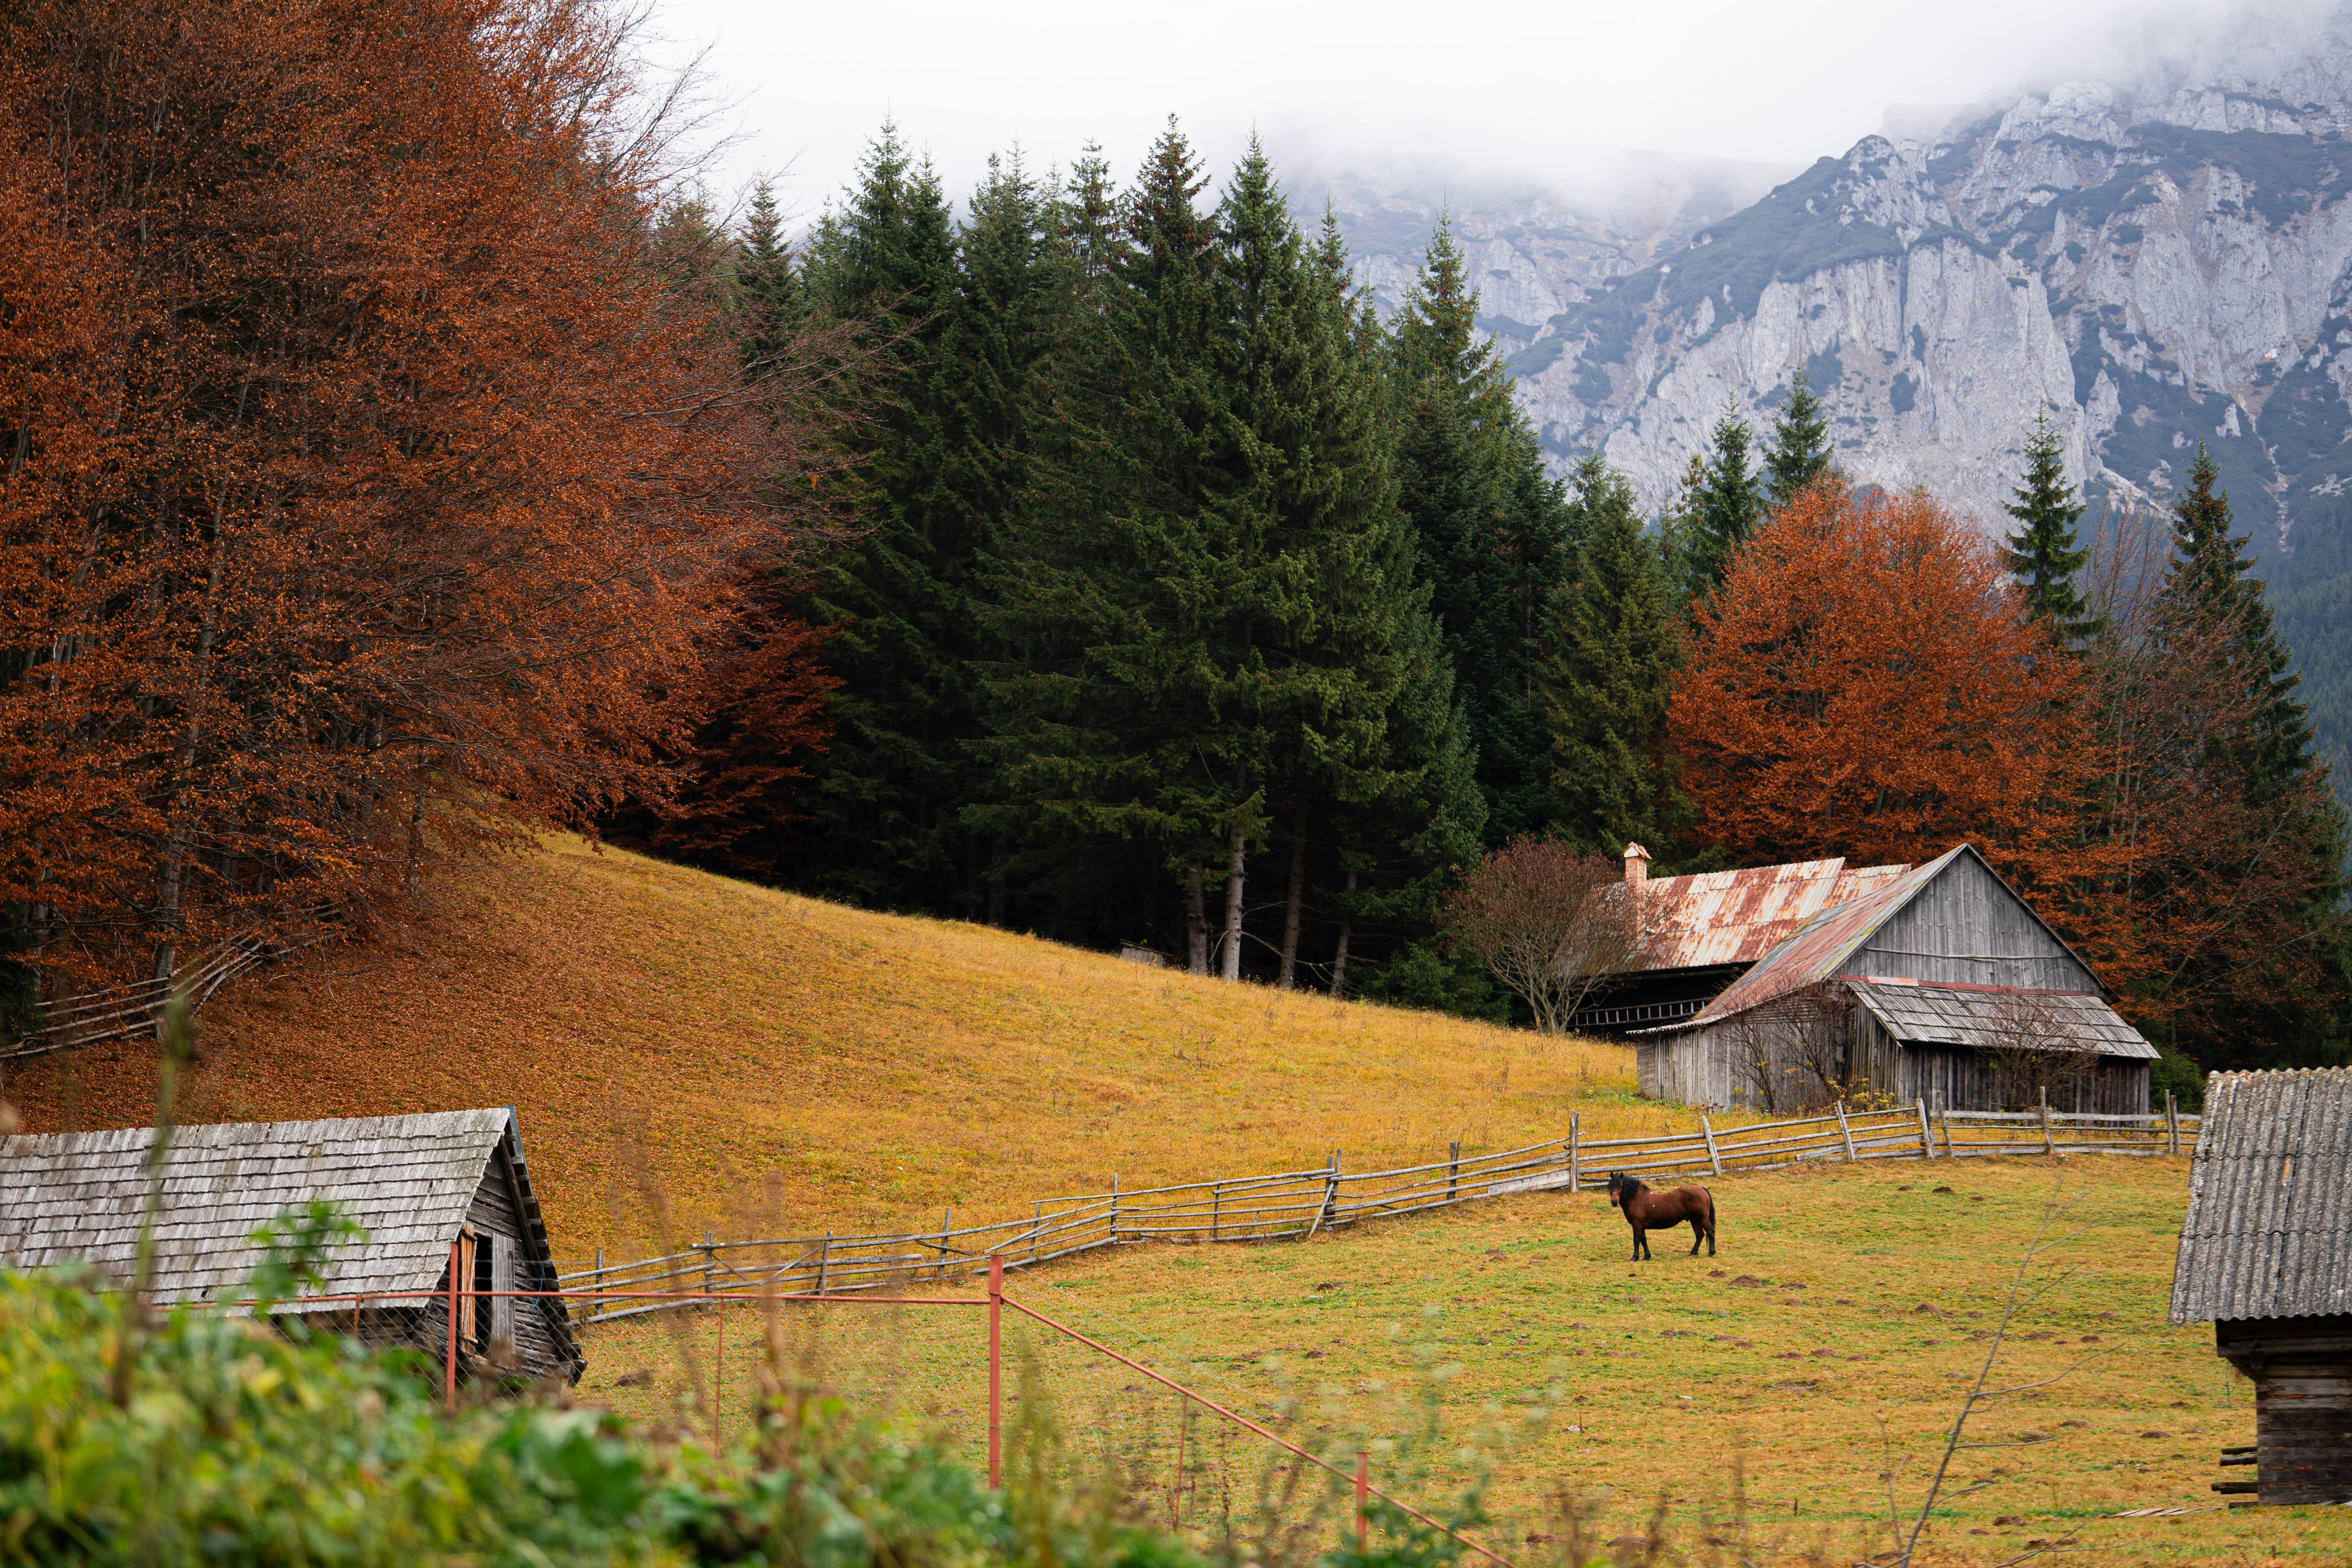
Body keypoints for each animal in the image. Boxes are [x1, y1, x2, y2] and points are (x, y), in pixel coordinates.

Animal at [1606, 1171, 1716, 1260]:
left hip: (1703, 1218)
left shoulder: (1637, 1225)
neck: (1637, 1198)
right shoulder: (1642, 1226)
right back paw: (1693, 1253)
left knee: (1710, 1232)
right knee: (1700, 1235)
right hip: (1694, 1220)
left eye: (1621, 1186)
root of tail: (1702, 1189)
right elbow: (1644, 1240)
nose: (1614, 1202)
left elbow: (1637, 1240)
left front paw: (1635, 1258)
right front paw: (1647, 1257)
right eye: (1610, 1185)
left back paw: (1711, 1253)